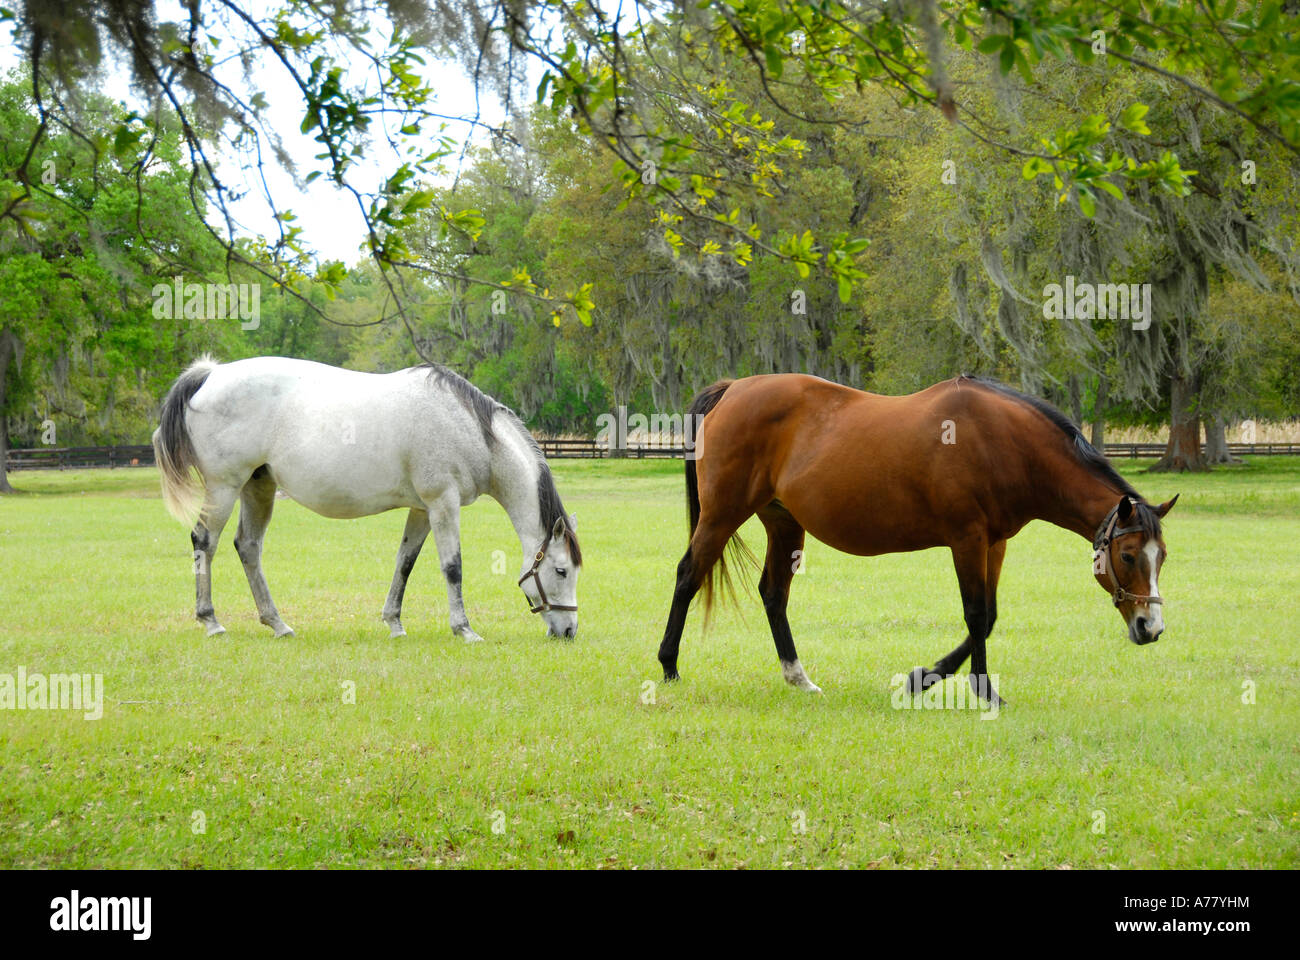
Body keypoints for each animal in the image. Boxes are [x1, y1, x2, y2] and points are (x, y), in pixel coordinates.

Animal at [152, 356, 581, 641]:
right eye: (561, 571)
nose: (569, 630)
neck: (467, 427)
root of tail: (212, 373)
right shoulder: (443, 503)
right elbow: (453, 567)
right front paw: (464, 629)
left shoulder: (421, 509)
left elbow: (405, 563)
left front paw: (394, 623)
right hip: (224, 487)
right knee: (205, 542)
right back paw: (211, 621)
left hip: (258, 487)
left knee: (248, 547)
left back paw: (277, 624)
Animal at [656, 373, 1178, 705]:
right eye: (1128, 555)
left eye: (1162, 558)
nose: (1151, 628)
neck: (1002, 442)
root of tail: (734, 389)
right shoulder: (966, 539)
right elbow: (976, 615)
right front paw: (980, 690)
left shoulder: (994, 543)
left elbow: (988, 617)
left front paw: (924, 679)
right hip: (722, 514)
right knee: (687, 576)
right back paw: (668, 666)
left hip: (783, 523)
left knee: (772, 594)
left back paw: (799, 678)